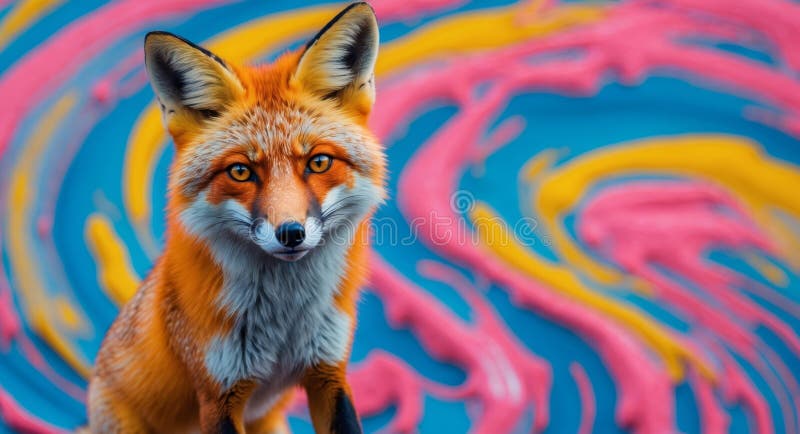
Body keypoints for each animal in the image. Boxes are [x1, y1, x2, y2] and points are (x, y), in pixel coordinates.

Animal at [86, 3, 385, 434]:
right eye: (241, 171)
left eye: (318, 162)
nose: (291, 233)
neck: (284, 323)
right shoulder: (218, 394)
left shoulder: (327, 372)